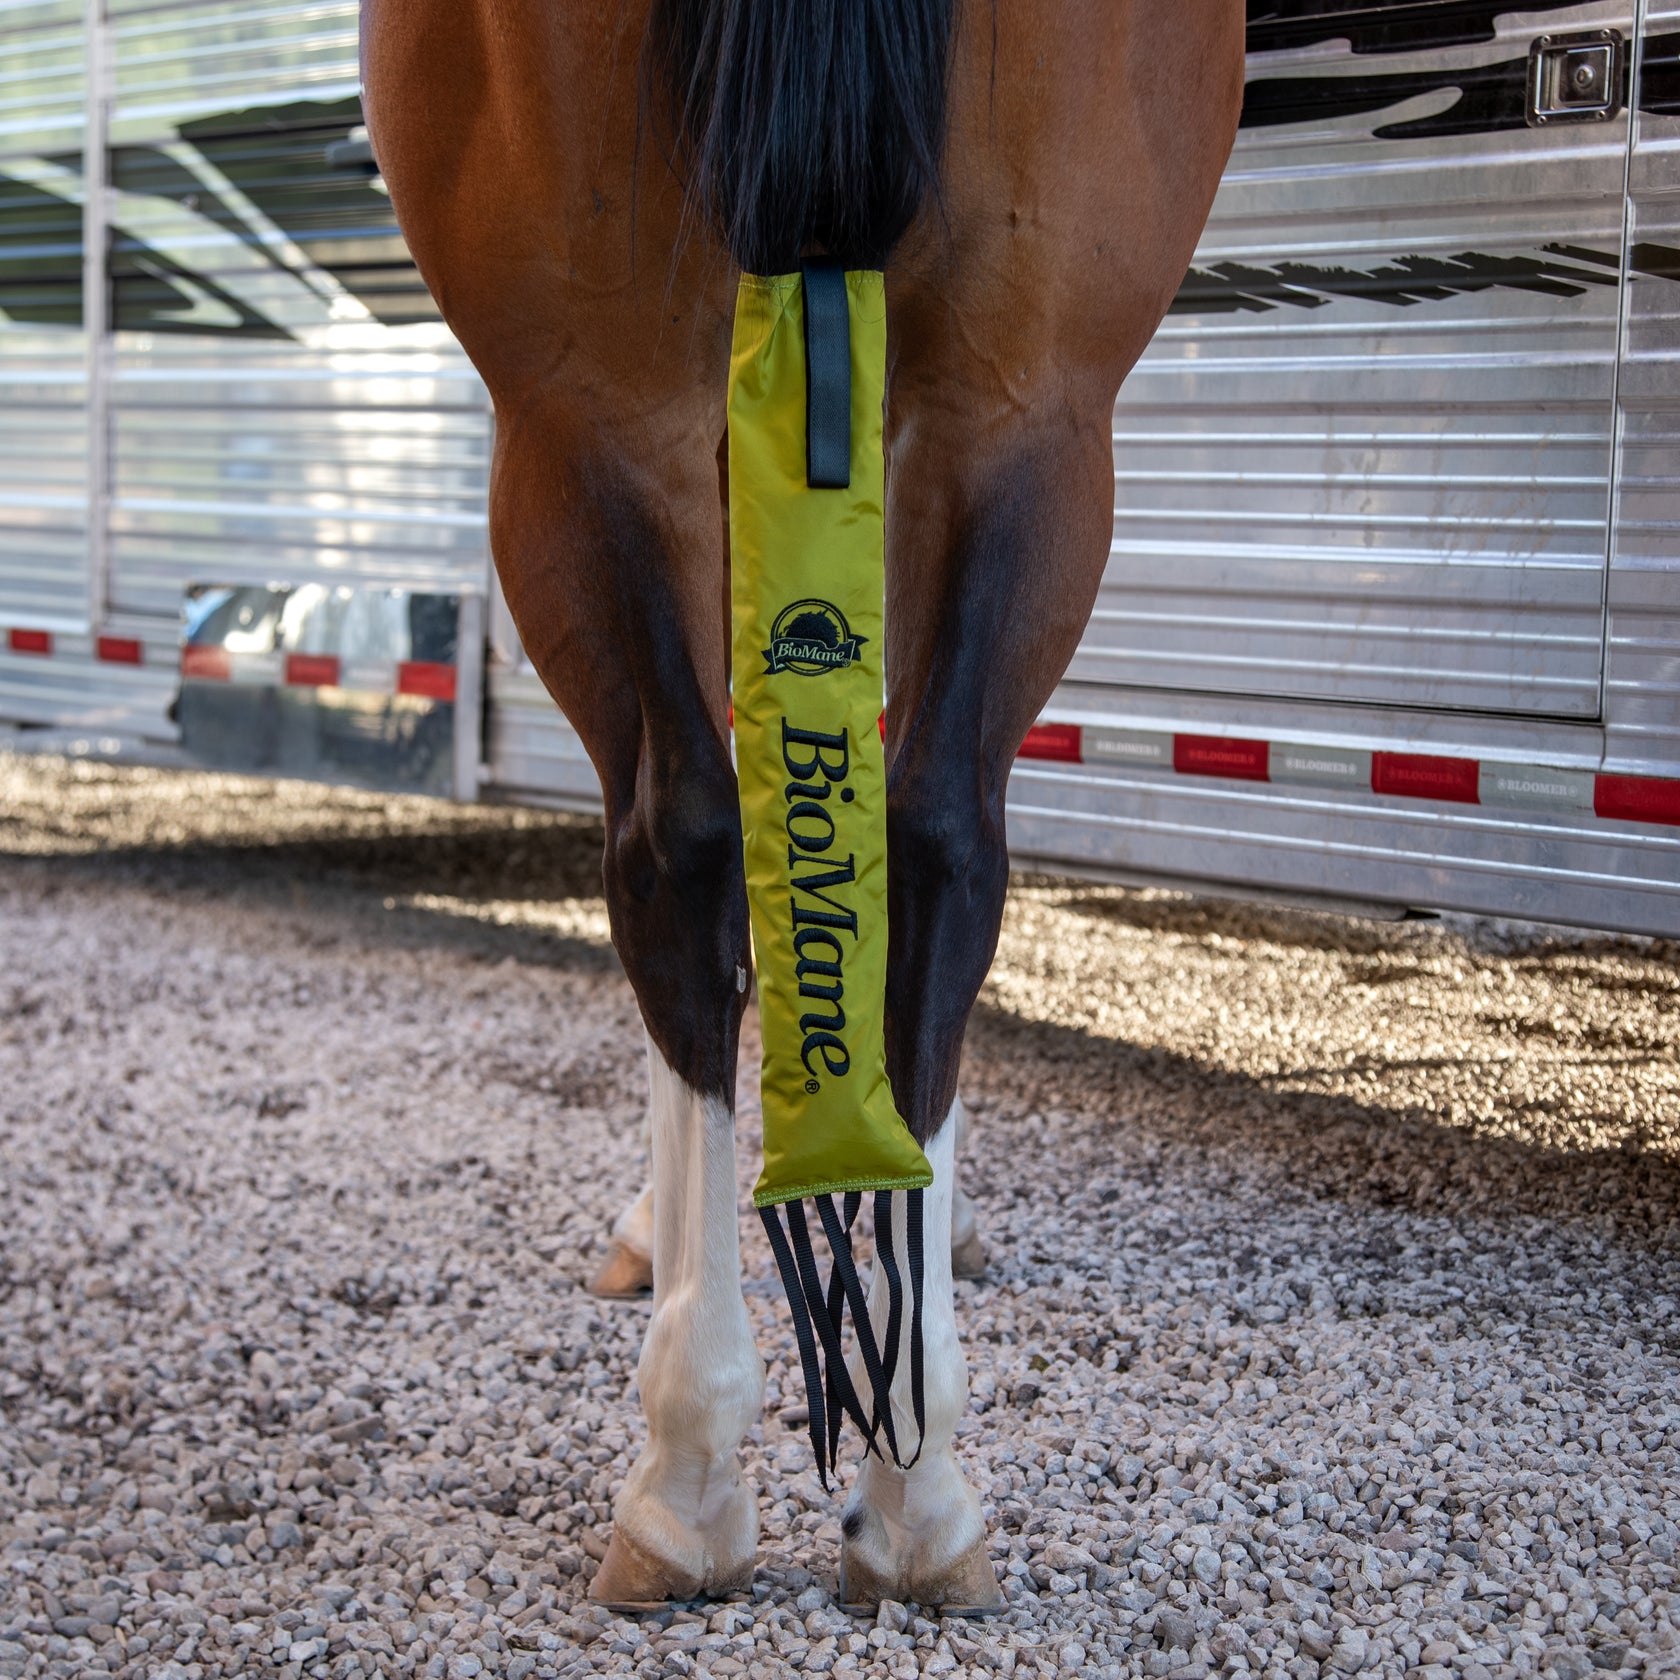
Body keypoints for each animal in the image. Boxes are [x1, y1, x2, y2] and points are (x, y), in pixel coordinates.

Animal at [361, 0, 1243, 1611]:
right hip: (1035, 405)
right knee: (935, 841)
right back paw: (913, 1484)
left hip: (584, 411)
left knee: (685, 845)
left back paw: (689, 1481)